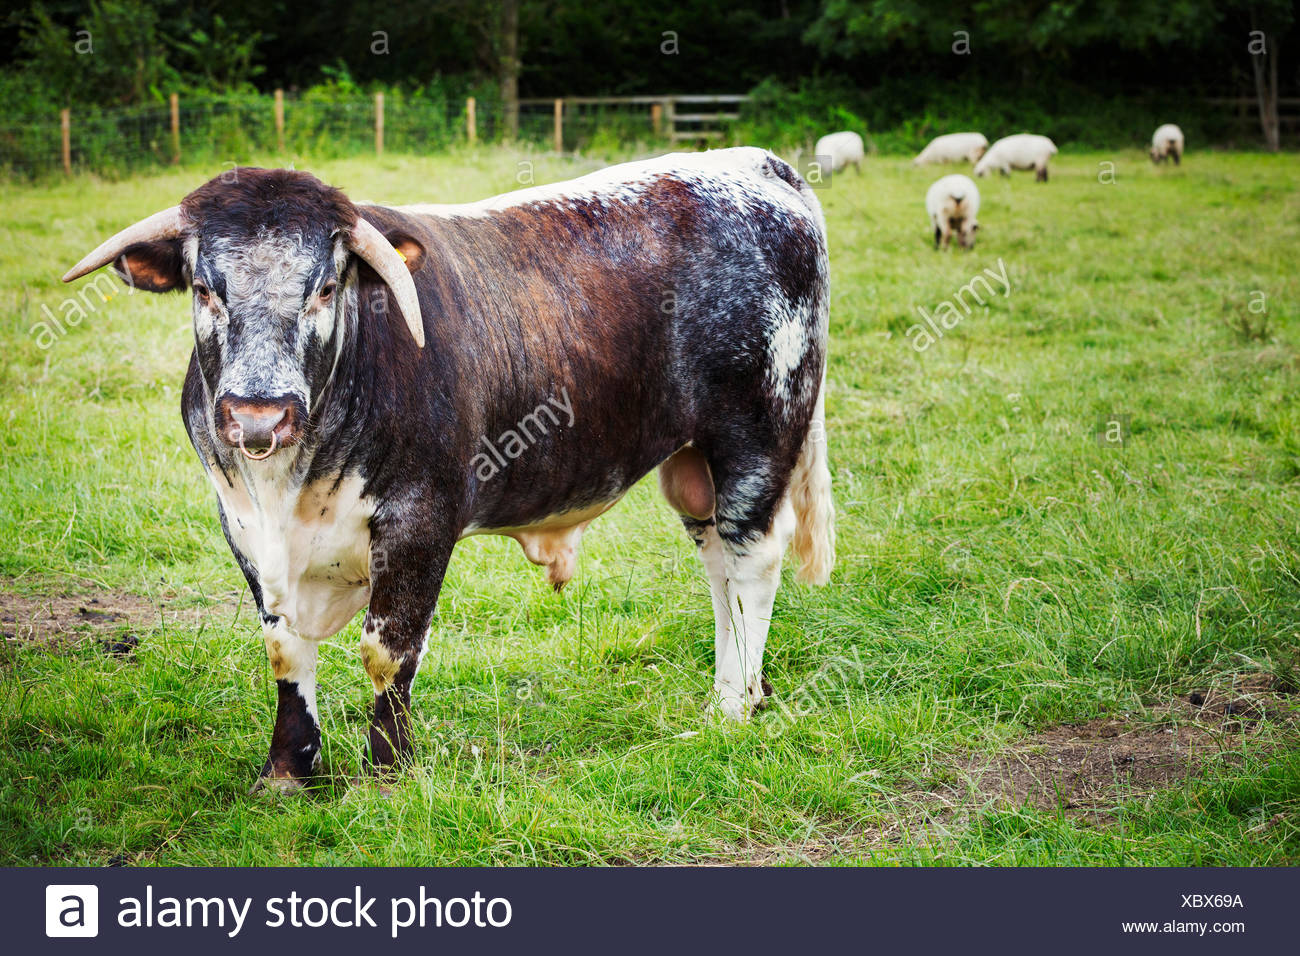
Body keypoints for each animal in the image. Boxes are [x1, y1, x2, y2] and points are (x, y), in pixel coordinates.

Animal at [62, 147, 836, 792]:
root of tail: (759, 164)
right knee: (717, 565)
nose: (259, 416)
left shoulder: (419, 521)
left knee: (750, 561)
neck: (291, 483)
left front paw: (387, 771)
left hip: (756, 436)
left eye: (324, 289)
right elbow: (285, 651)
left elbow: (387, 652)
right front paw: (286, 770)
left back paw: (734, 706)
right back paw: (735, 692)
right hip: (693, 463)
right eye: (204, 288)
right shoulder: (244, 527)